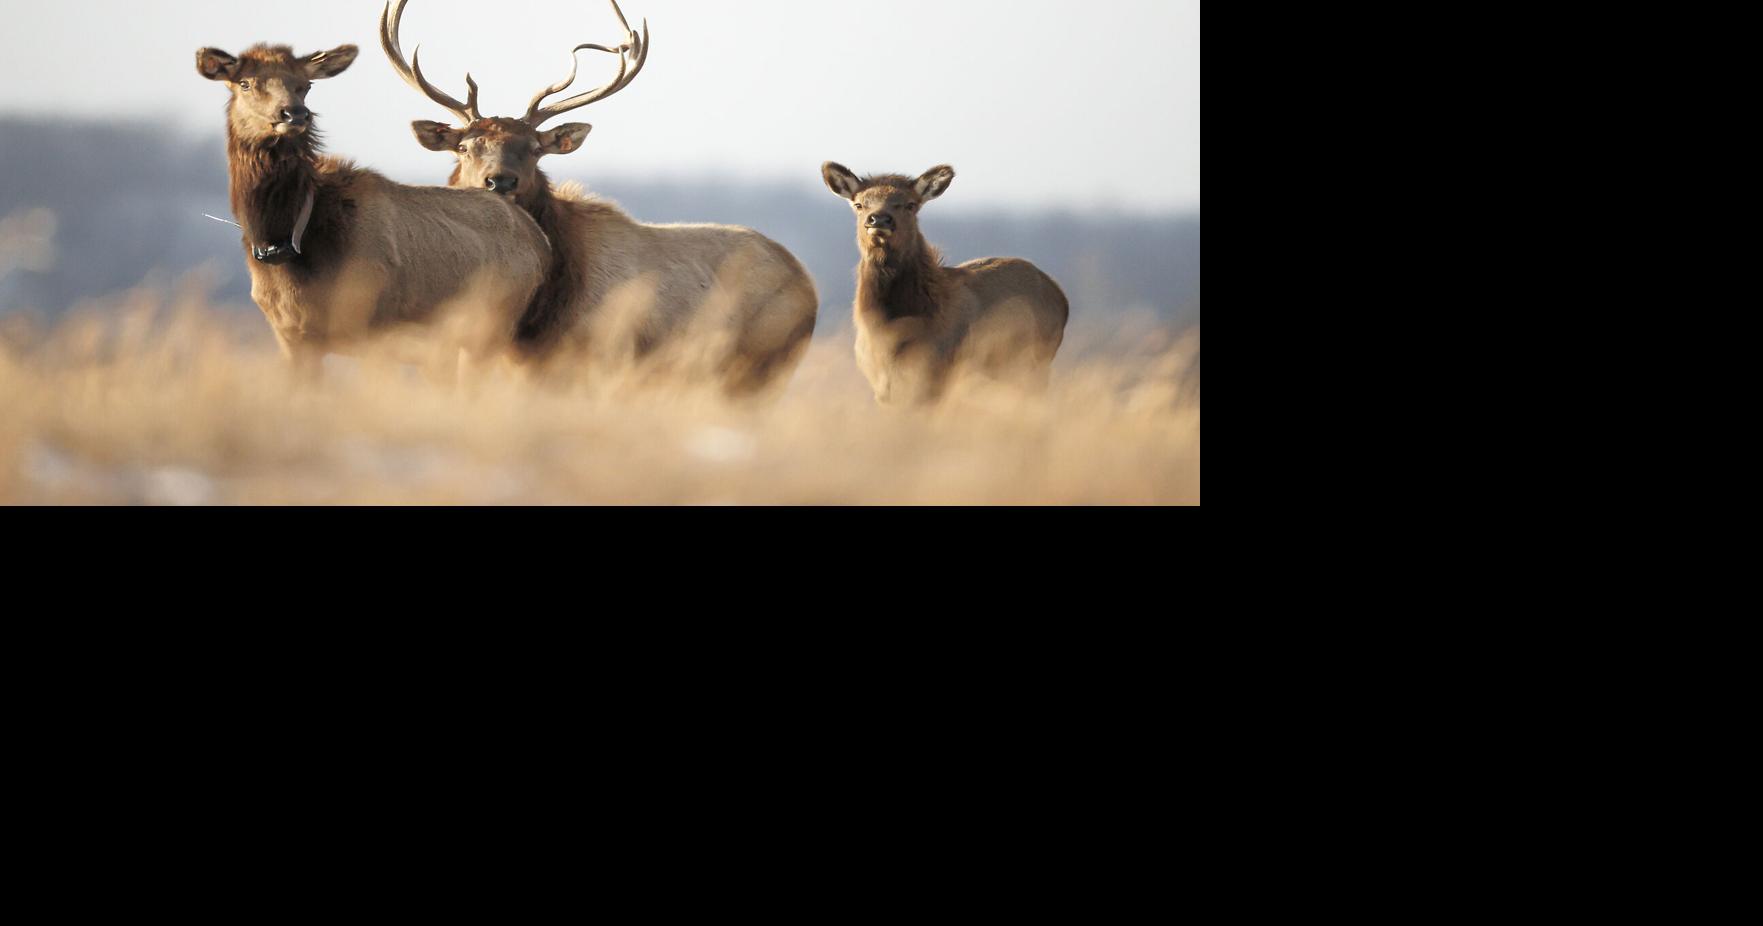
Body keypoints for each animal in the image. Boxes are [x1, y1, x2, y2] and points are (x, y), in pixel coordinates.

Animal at [194, 41, 551, 377]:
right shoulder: (290, 336)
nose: (293, 114)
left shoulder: (372, 326)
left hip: (488, 330)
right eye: (245, 83)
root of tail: (539, 237)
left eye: (306, 85)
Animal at [380, 0, 819, 396]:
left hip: (761, 366)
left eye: (534, 149)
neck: (537, 316)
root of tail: (807, 283)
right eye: (465, 147)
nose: (500, 181)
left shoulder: (593, 360)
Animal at [820, 163, 1070, 406]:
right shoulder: (882, 387)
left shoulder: (934, 376)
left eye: (910, 204)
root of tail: (1060, 294)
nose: (879, 219)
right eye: (859, 204)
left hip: (1036, 363)